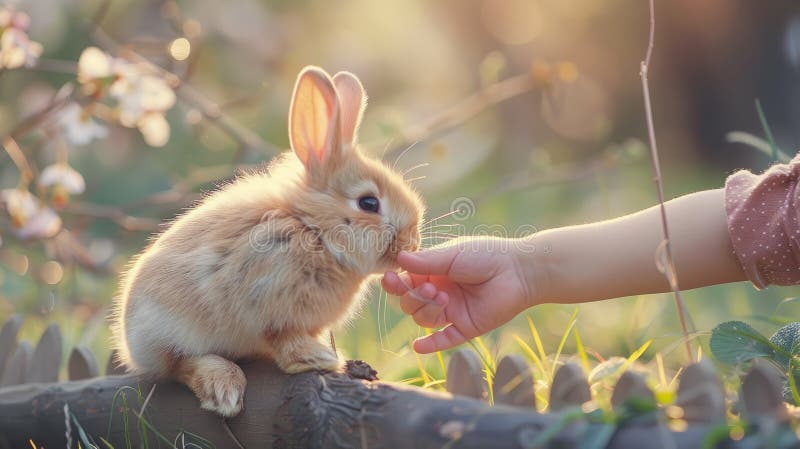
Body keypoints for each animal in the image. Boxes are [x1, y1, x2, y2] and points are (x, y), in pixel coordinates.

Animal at [110, 66, 424, 417]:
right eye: (369, 203)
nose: (412, 243)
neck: (312, 229)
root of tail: (128, 342)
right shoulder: (270, 305)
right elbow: (282, 340)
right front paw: (319, 358)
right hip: (169, 330)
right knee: (179, 365)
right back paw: (223, 388)